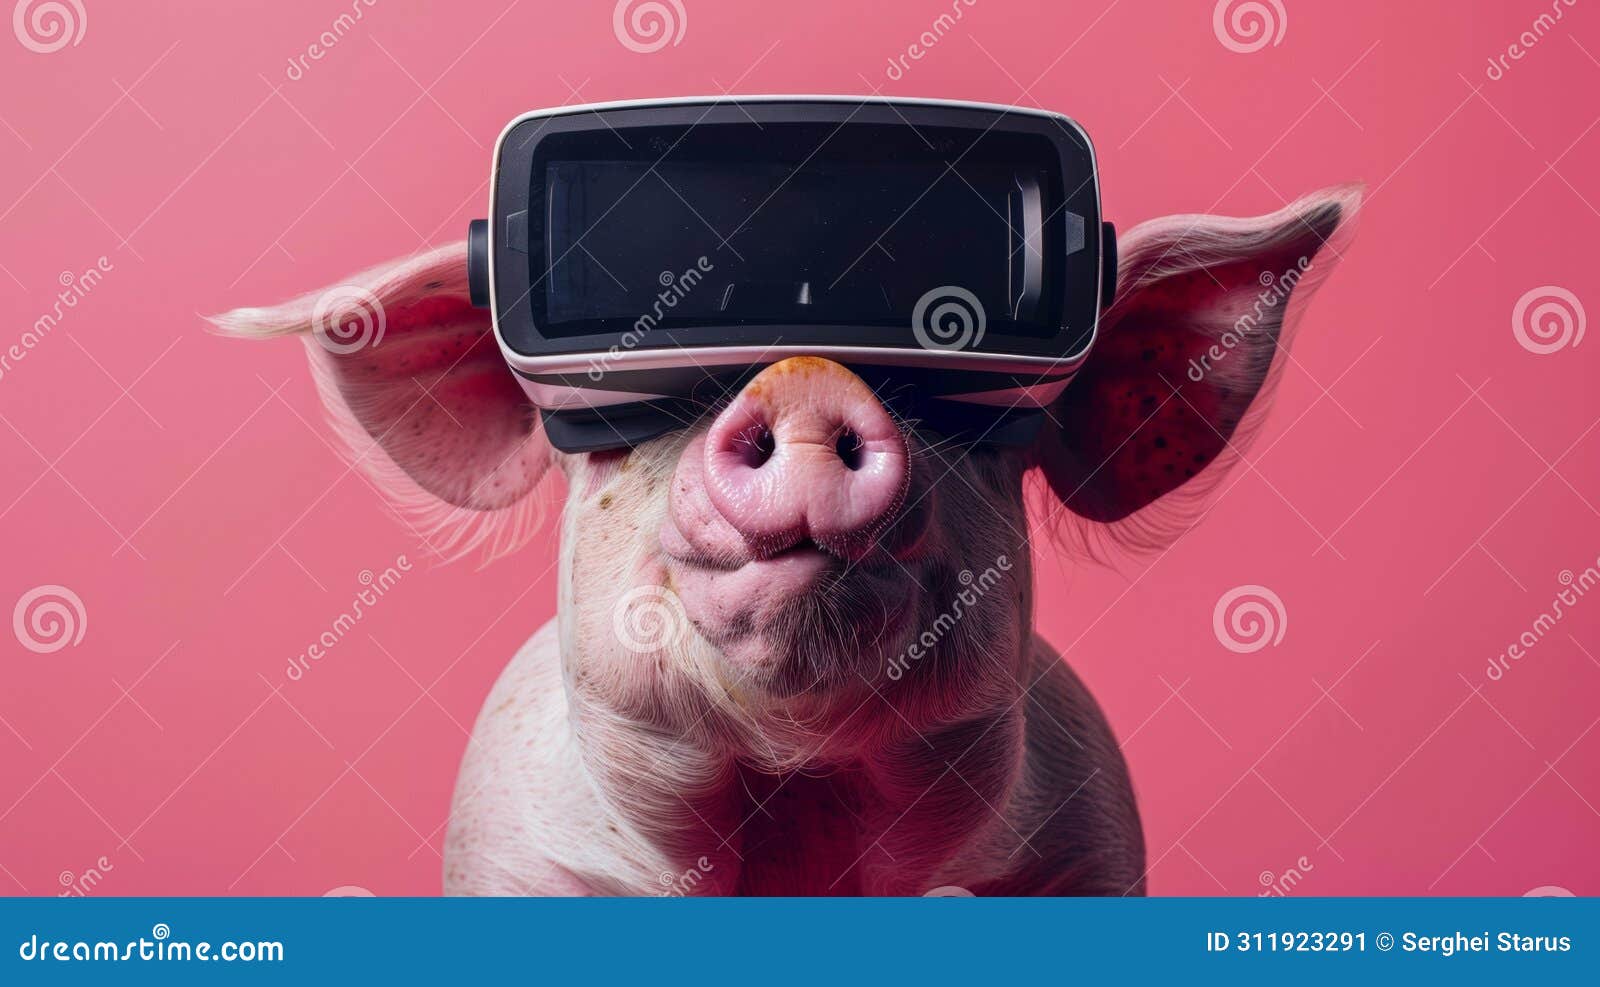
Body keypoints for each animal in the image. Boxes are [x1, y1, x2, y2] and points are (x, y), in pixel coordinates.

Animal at [213, 185, 1358, 895]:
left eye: (966, 419)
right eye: (621, 428)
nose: (808, 379)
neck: (797, 814)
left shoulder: (1091, 843)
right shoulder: (511, 847)